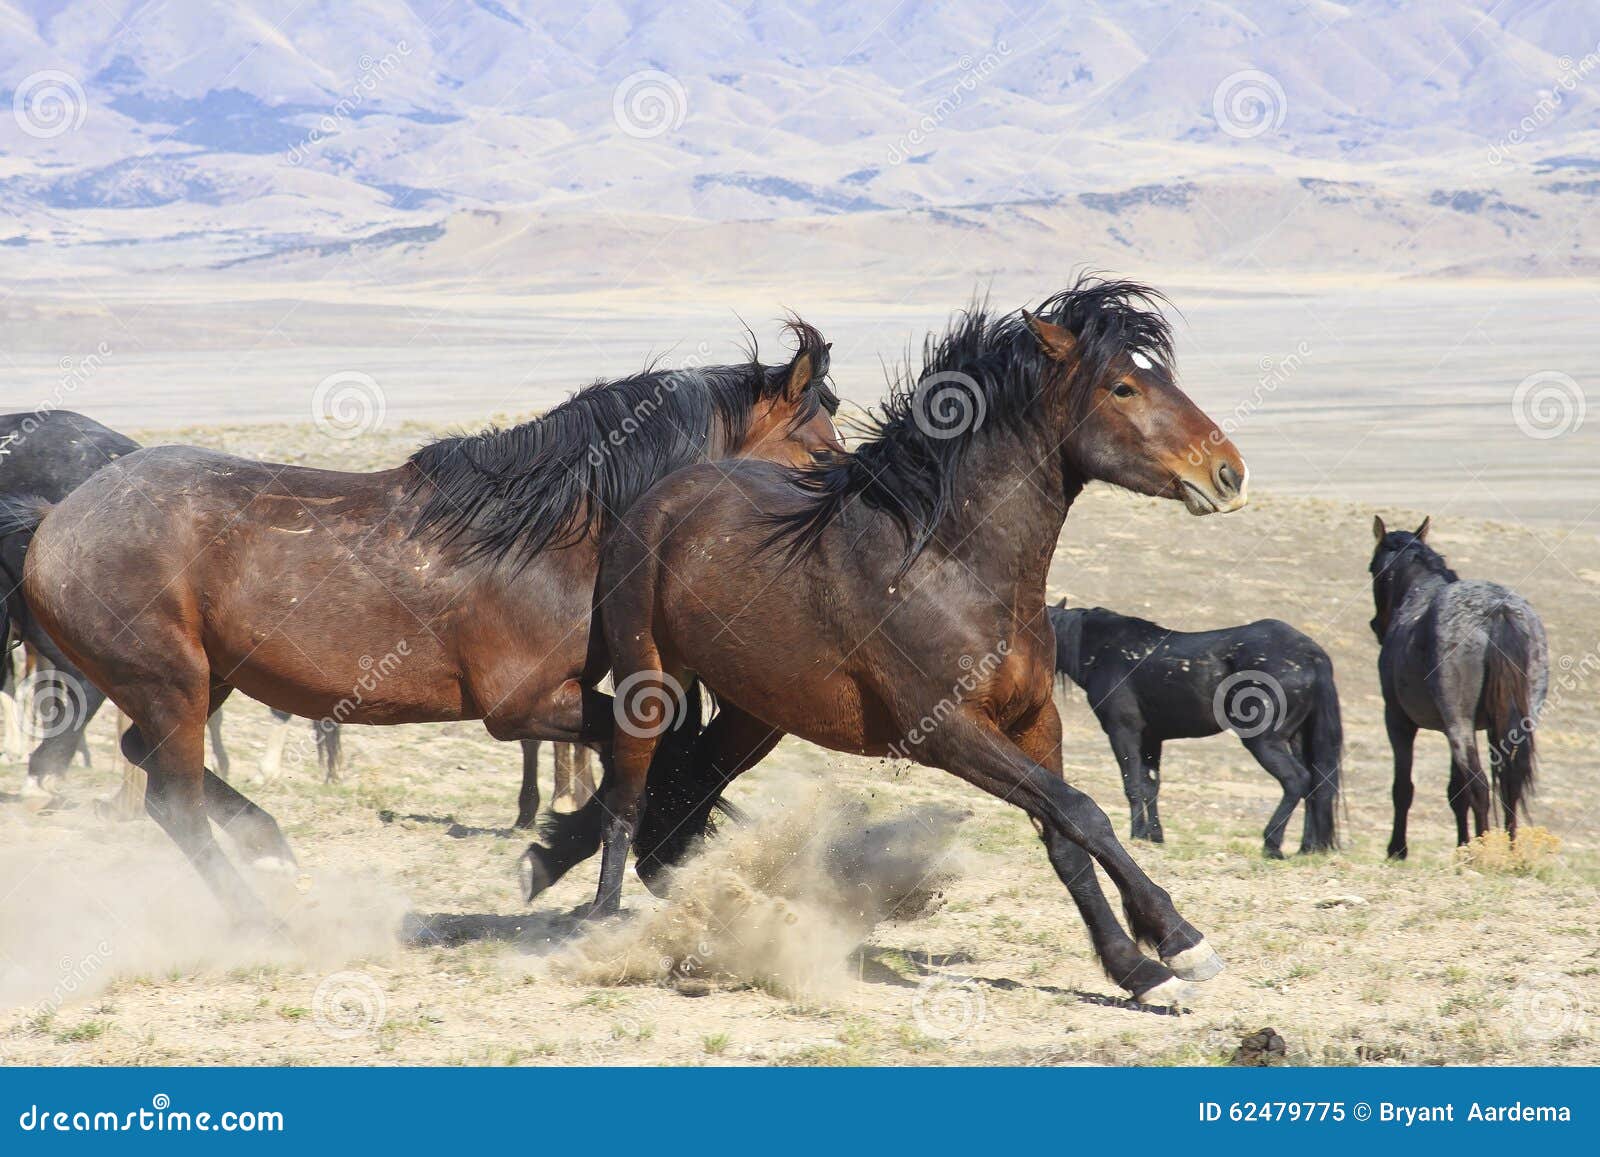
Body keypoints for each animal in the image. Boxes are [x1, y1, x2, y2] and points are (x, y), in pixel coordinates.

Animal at [2, 325, 841, 923]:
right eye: (817, 449)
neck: (558, 530)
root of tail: (53, 521)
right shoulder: (525, 704)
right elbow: (652, 749)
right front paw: (593, 854)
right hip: (170, 679)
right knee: (169, 797)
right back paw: (259, 915)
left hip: (201, 681)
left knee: (147, 758)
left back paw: (271, 846)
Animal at [549, 279, 1250, 1005]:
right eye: (1123, 388)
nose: (1229, 473)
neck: (951, 566)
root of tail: (657, 501)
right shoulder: (949, 731)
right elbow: (1082, 813)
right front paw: (1181, 939)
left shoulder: (1035, 722)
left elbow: (1065, 836)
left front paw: (1139, 969)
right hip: (649, 684)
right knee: (627, 799)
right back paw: (602, 934)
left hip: (755, 714)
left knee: (684, 800)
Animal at [1047, 602, 1342, 857]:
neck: (1103, 648)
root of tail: (1312, 655)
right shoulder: (1152, 738)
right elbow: (1151, 785)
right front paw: (1155, 836)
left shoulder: (1123, 732)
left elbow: (1132, 784)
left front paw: (1137, 834)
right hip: (1299, 738)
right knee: (1316, 784)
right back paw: (1308, 848)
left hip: (1263, 741)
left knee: (1296, 780)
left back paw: (1272, 844)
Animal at [1369, 516, 1547, 856]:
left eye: (1373, 569)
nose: (1376, 626)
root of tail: (1497, 612)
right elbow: (1456, 792)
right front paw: (1461, 845)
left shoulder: (1397, 720)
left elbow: (1404, 788)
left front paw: (1397, 848)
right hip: (1511, 721)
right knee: (1509, 784)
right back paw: (1511, 853)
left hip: (1458, 724)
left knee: (1480, 784)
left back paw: (1482, 853)